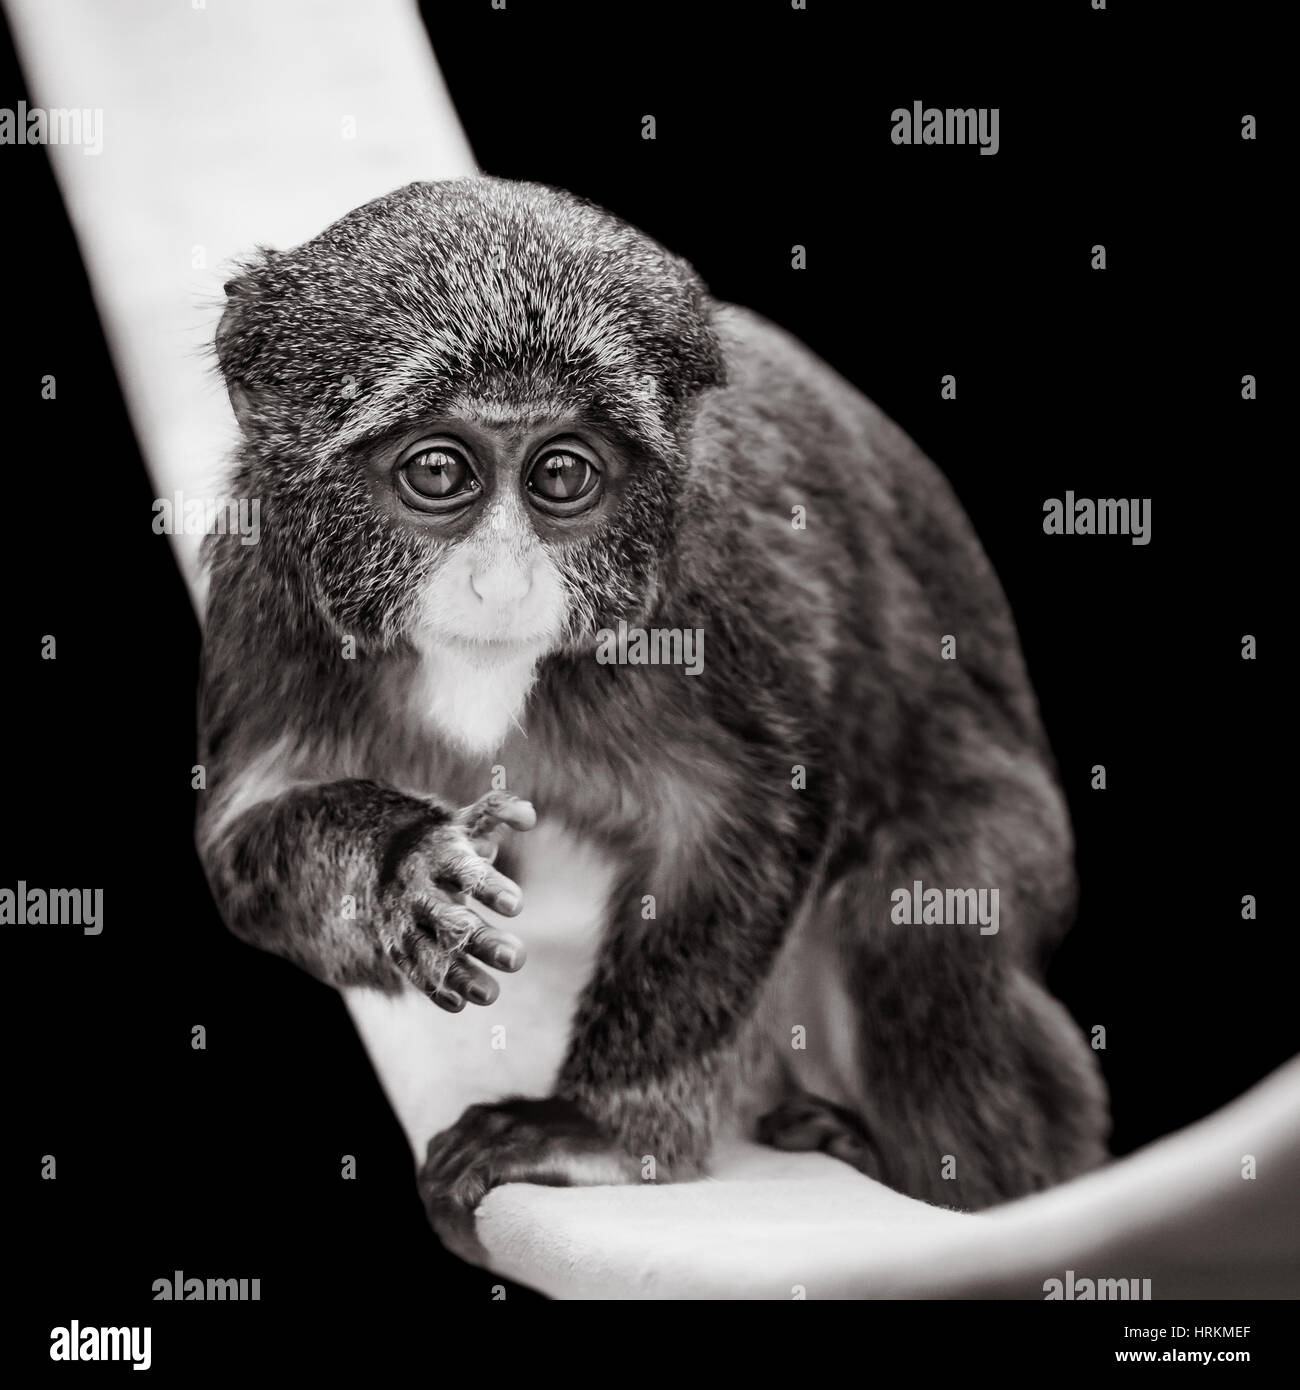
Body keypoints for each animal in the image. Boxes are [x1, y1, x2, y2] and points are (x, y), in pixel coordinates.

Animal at [197, 176, 1109, 1267]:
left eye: (561, 476)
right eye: (438, 472)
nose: (500, 583)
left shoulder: (716, 579)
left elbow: (748, 808)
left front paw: (598, 1131)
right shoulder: (265, 581)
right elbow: (242, 836)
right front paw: (406, 870)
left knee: (914, 934)